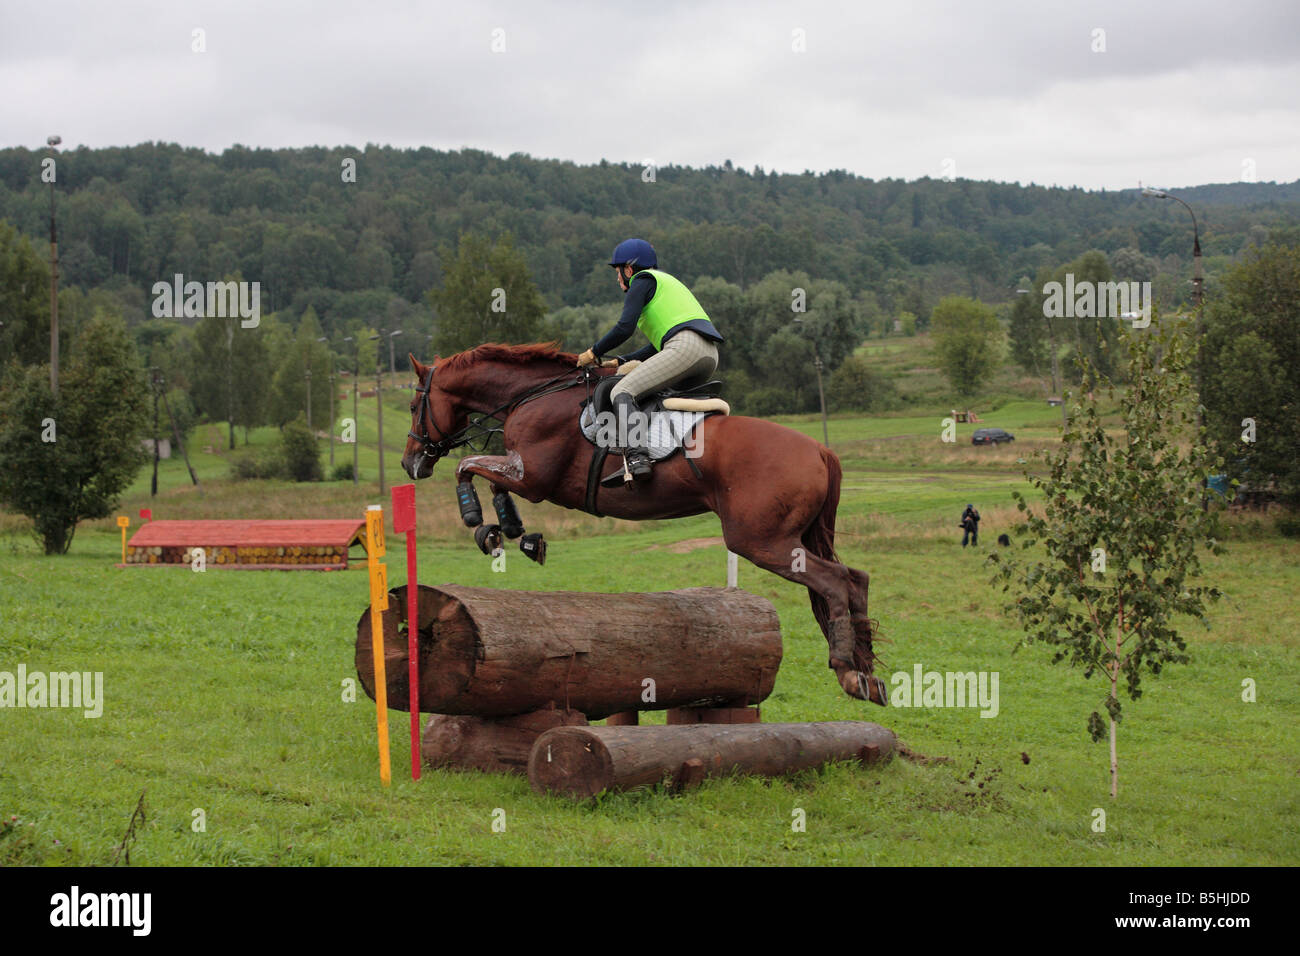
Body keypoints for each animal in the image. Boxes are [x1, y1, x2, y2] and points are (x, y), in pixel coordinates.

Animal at [400, 343, 886, 705]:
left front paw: (482, 527)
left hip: (761, 540)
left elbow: (467, 466)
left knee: (836, 581)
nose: (411, 463)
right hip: (783, 539)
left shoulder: (533, 477)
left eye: (413, 404)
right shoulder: (523, 474)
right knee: (857, 578)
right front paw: (514, 533)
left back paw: (847, 670)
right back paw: (868, 673)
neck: (533, 395)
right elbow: (488, 479)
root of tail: (821, 450)